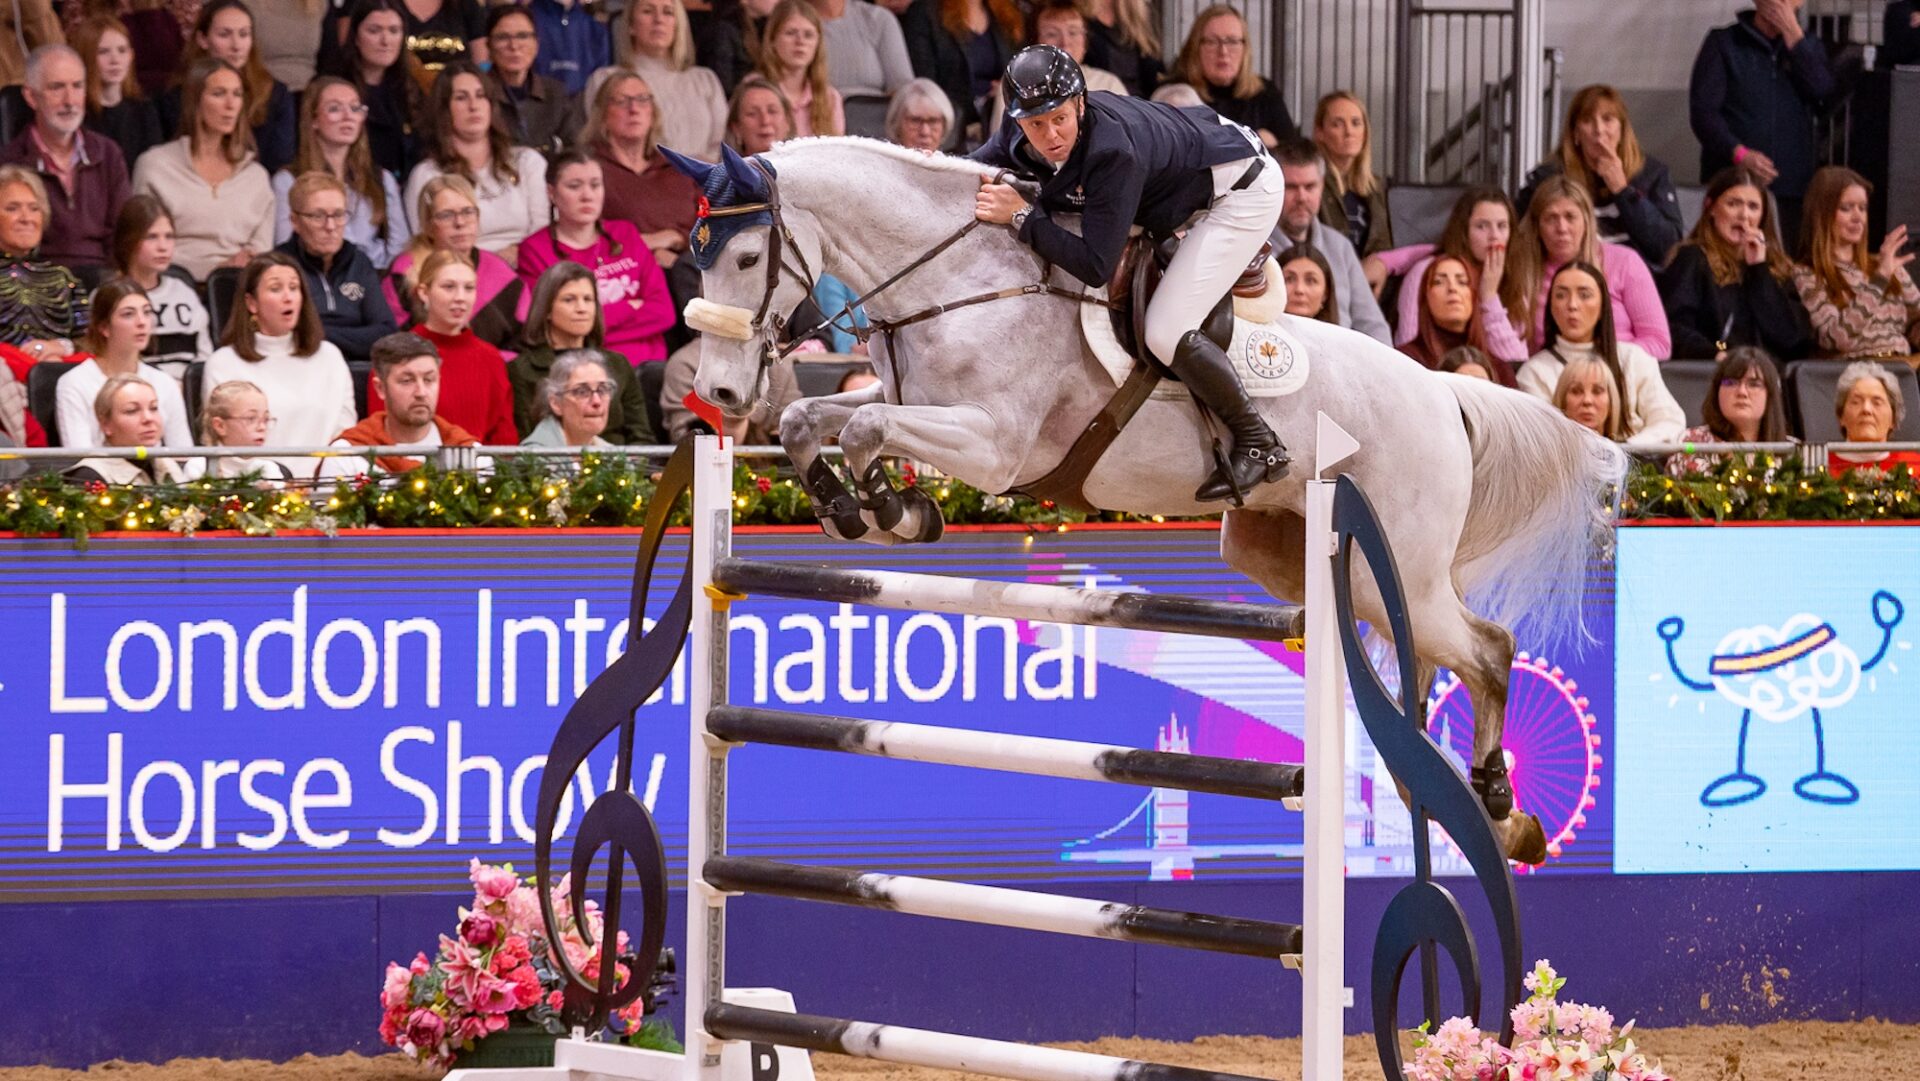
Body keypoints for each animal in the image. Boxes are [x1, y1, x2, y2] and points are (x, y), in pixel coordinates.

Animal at [664, 137, 1627, 864]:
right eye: (695, 256)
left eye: (746, 257)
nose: (716, 395)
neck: (961, 281)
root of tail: (1445, 394)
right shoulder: (912, 405)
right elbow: (809, 416)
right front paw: (850, 502)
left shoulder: (993, 443)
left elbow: (866, 430)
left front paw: (890, 507)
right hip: (1305, 565)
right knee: (1434, 659)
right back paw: (1491, 810)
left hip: (1403, 571)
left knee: (1490, 649)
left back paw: (1500, 805)